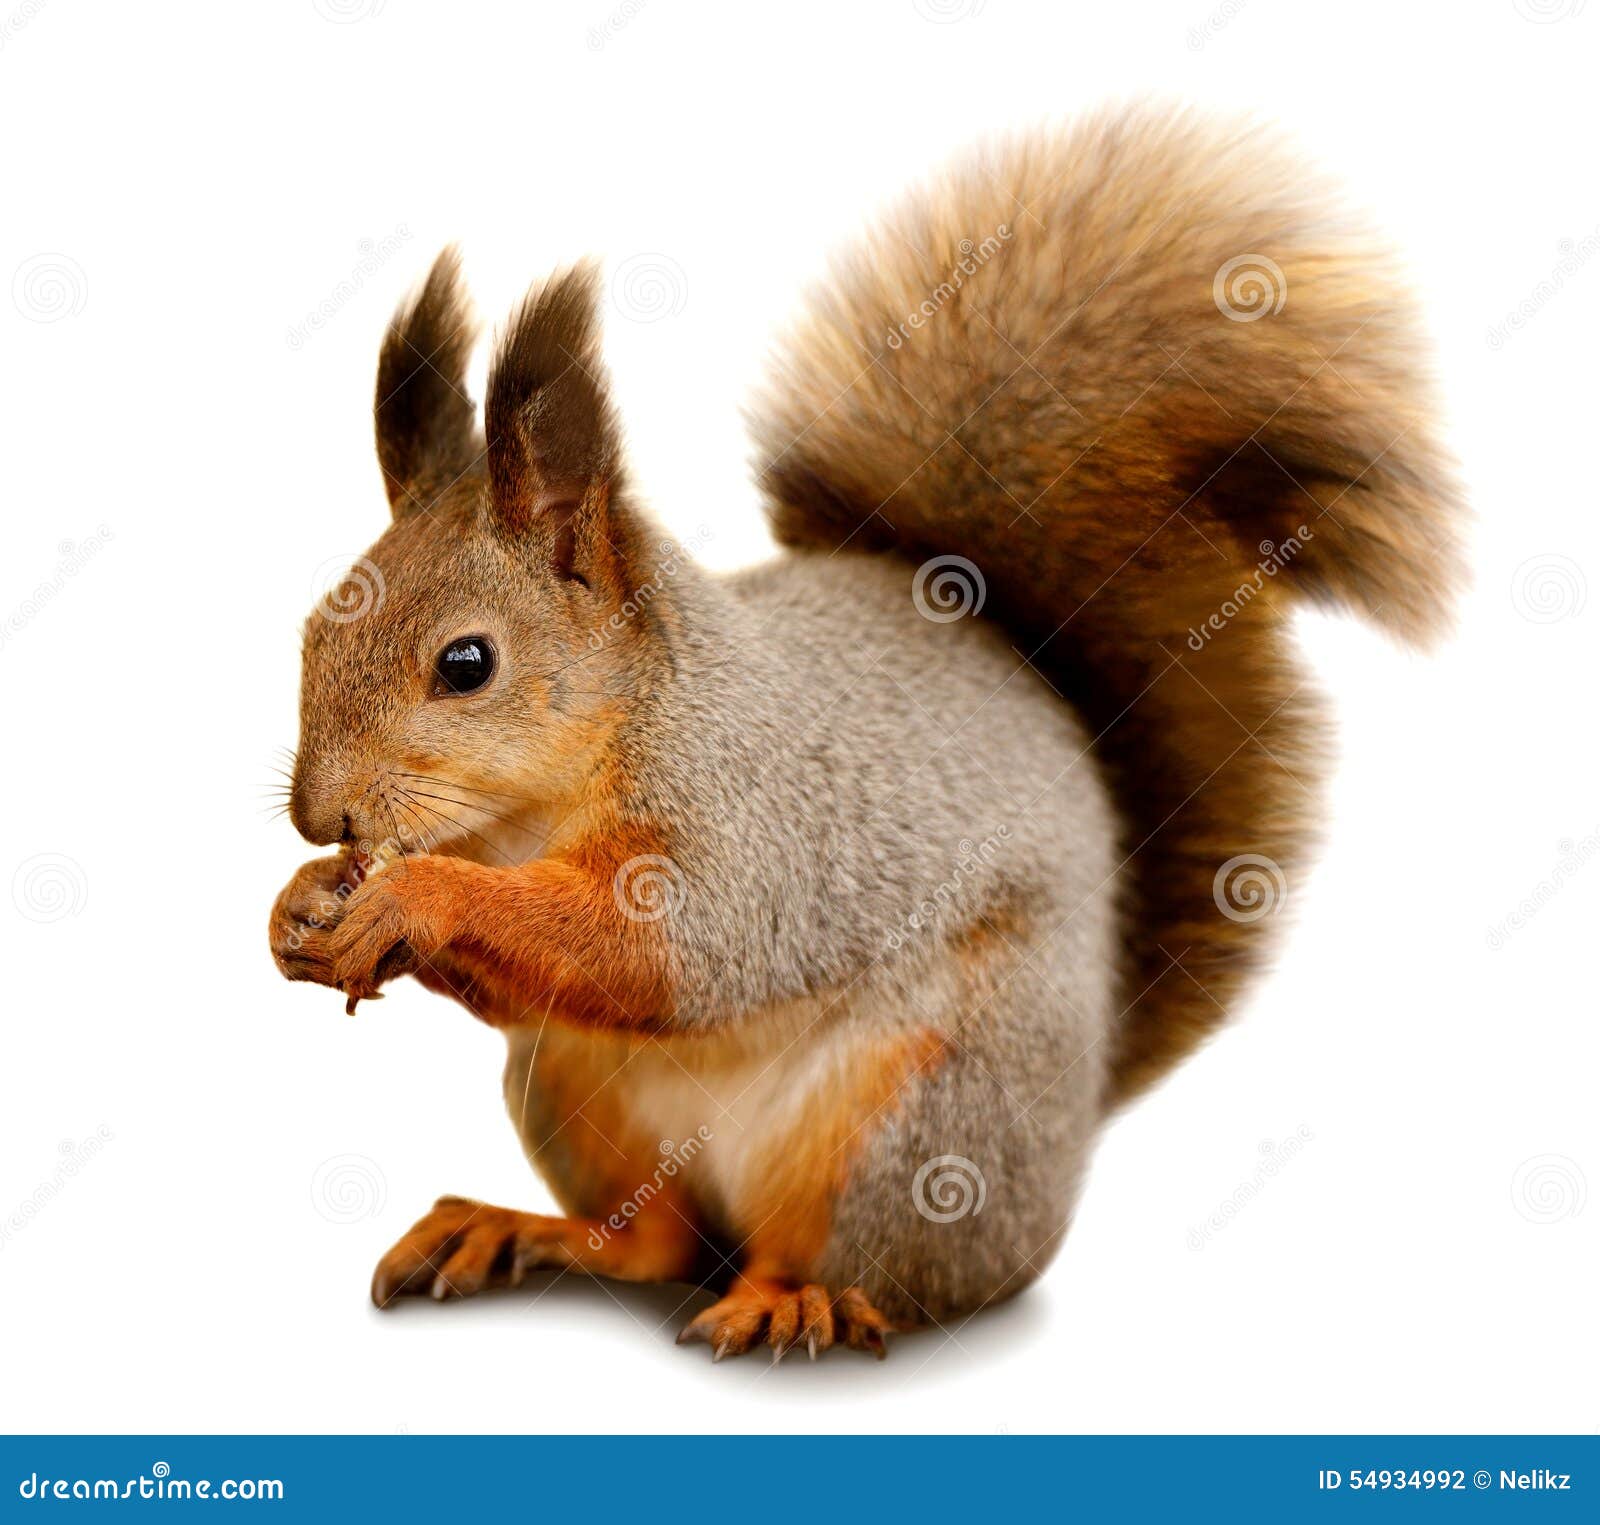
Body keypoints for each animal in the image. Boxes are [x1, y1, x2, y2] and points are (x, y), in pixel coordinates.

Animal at [269, 107, 1462, 1360]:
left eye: (467, 664)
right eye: (311, 628)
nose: (317, 814)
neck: (530, 810)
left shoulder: (752, 824)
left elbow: (666, 950)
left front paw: (412, 897)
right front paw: (299, 908)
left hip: (918, 1118)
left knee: (877, 1268)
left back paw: (800, 1302)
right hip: (573, 1093)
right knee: (656, 1245)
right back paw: (516, 1230)